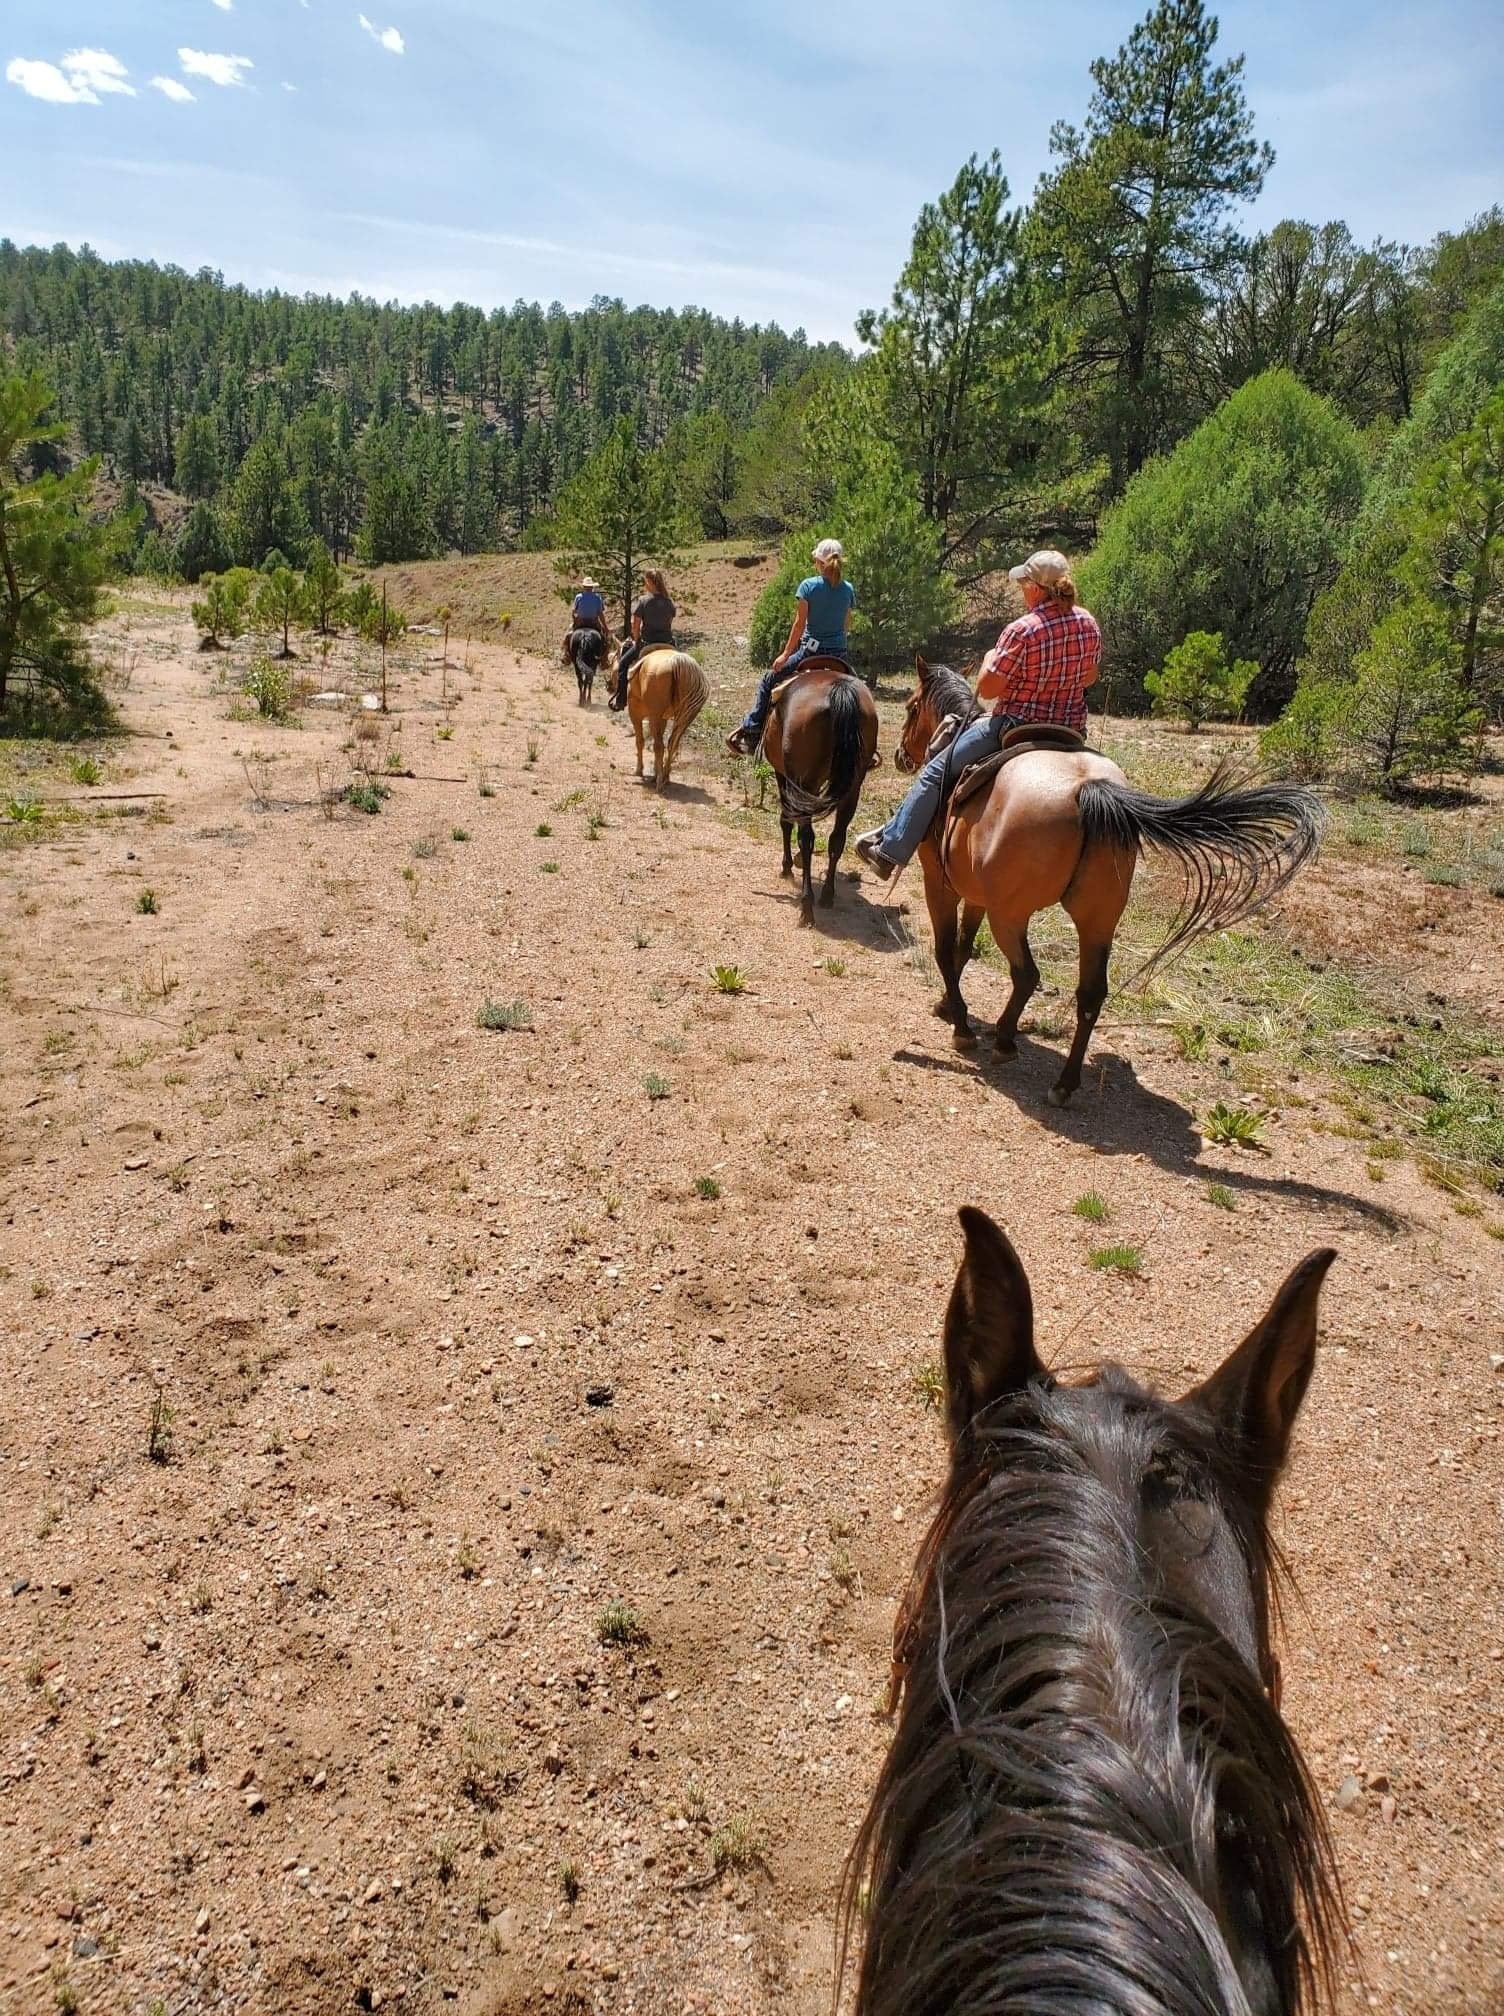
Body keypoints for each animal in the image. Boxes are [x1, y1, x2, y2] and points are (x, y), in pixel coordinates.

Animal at [625, 647, 708, 793]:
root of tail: (678, 662)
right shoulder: (660, 719)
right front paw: (655, 772)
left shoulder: (636, 713)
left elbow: (640, 741)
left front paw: (639, 770)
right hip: (686, 718)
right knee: (672, 744)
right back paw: (665, 777)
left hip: (656, 716)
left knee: (659, 746)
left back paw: (659, 783)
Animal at [762, 660, 880, 927]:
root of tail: (839, 691)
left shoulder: (782, 775)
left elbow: (785, 821)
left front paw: (786, 866)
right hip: (852, 788)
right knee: (837, 838)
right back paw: (827, 895)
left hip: (805, 784)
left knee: (806, 838)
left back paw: (807, 905)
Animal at [896, 656, 1324, 1104]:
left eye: (911, 708)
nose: (899, 755)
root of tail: (1092, 789)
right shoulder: (975, 894)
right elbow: (963, 949)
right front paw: (947, 1005)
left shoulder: (940, 883)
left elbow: (946, 951)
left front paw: (960, 1025)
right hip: (1098, 919)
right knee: (1090, 994)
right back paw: (1064, 1083)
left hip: (1011, 916)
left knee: (1027, 975)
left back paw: (1006, 1040)